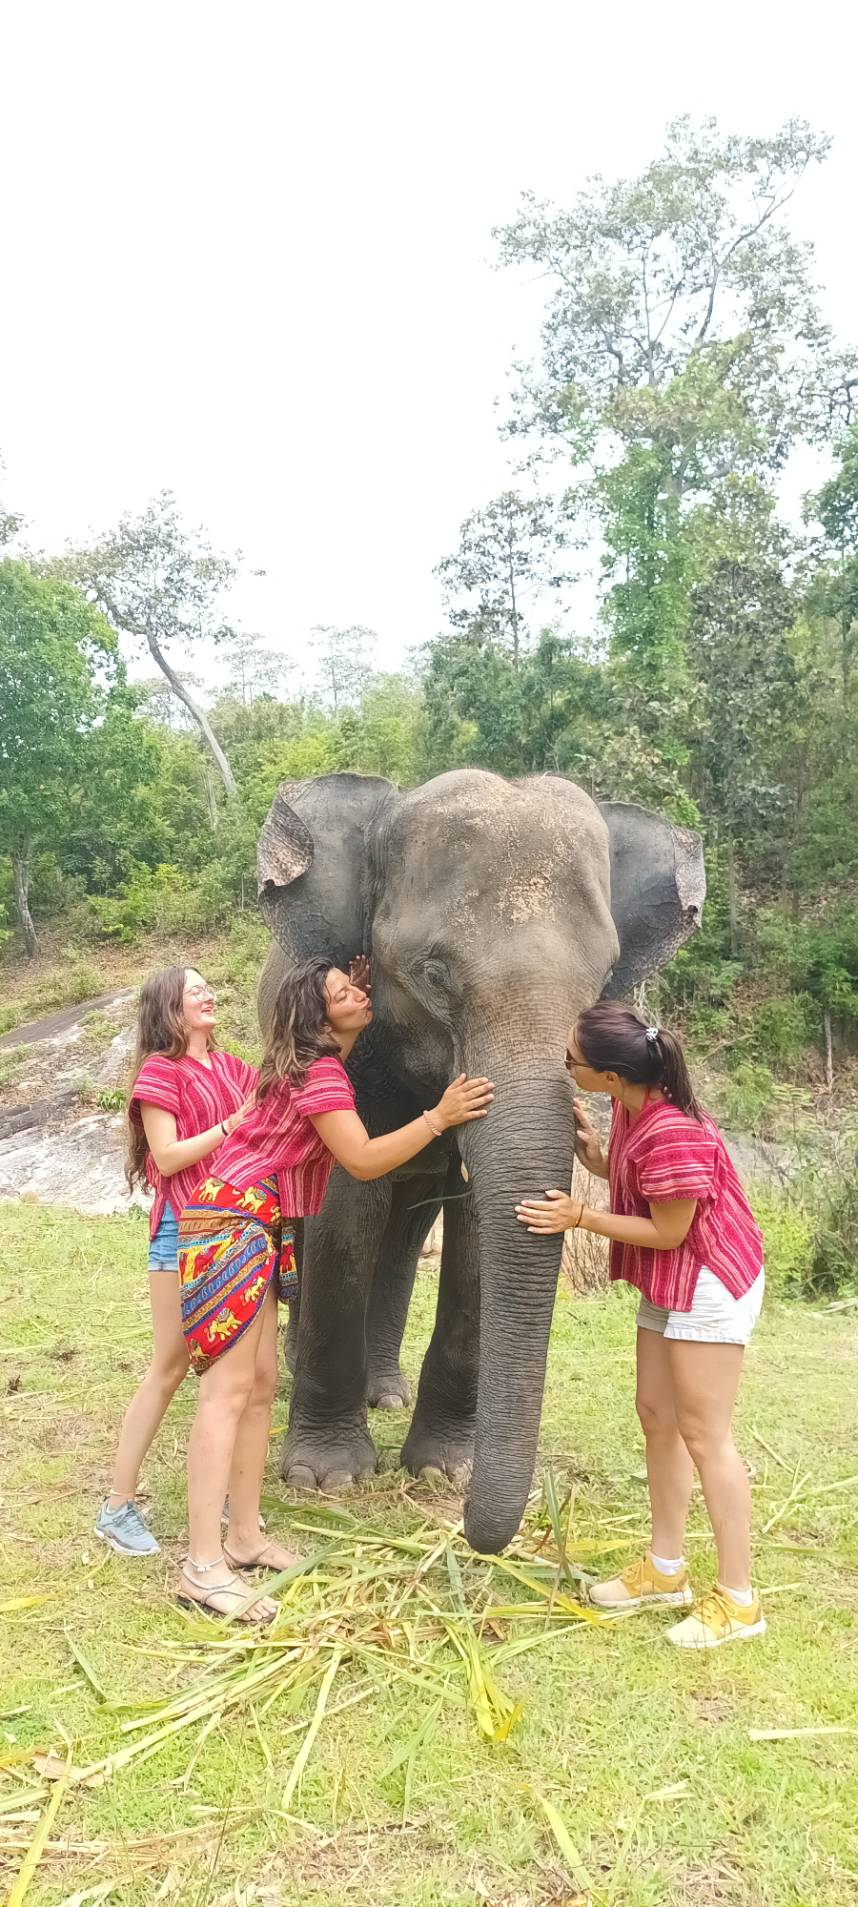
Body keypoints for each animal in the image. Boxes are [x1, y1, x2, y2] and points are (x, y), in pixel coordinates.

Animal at [256, 768, 705, 1554]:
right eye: (434, 975)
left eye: (603, 979)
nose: (474, 1533)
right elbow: (347, 1206)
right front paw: (327, 1479)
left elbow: (472, 1228)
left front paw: (446, 1471)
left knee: (408, 1228)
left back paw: (386, 1393)